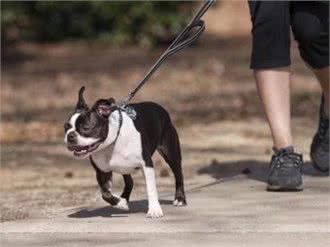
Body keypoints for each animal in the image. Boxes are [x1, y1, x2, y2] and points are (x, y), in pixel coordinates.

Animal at [63, 87, 184, 218]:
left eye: (86, 128)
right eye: (65, 127)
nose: (70, 135)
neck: (112, 143)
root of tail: (159, 107)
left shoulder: (146, 164)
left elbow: (151, 188)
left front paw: (154, 210)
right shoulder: (102, 171)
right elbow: (105, 193)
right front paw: (120, 202)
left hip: (171, 153)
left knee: (178, 174)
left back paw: (180, 199)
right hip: (124, 167)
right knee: (129, 181)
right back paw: (124, 198)